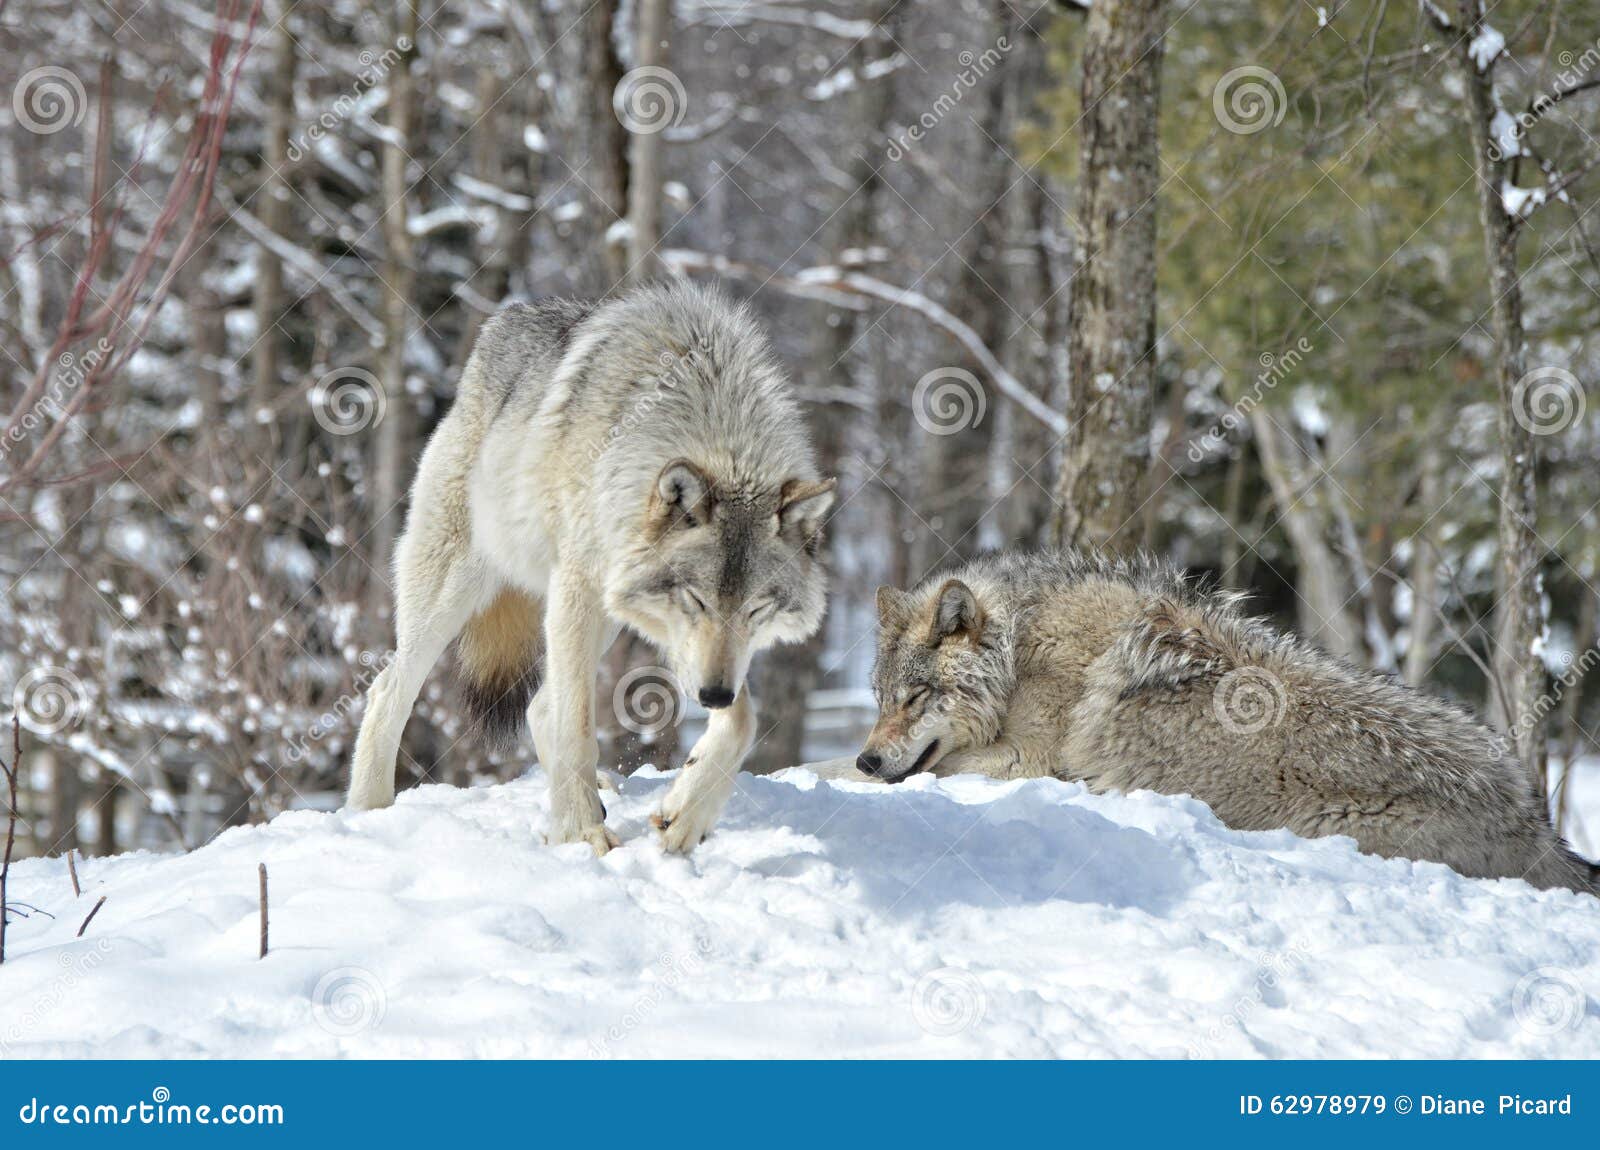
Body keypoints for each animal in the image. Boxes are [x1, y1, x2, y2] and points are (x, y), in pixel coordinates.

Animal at [345, 282, 835, 854]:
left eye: (756, 609)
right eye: (697, 599)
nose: (713, 695)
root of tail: (498, 325)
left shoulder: (678, 631)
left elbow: (742, 721)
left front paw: (685, 814)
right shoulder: (588, 590)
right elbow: (578, 726)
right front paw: (581, 834)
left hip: (604, 617)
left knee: (538, 706)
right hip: (459, 591)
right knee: (388, 690)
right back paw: (368, 811)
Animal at [857, 550, 1597, 894]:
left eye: (916, 698)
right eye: (879, 697)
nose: (870, 756)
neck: (1022, 647)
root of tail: (1534, 821)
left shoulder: (1035, 757)